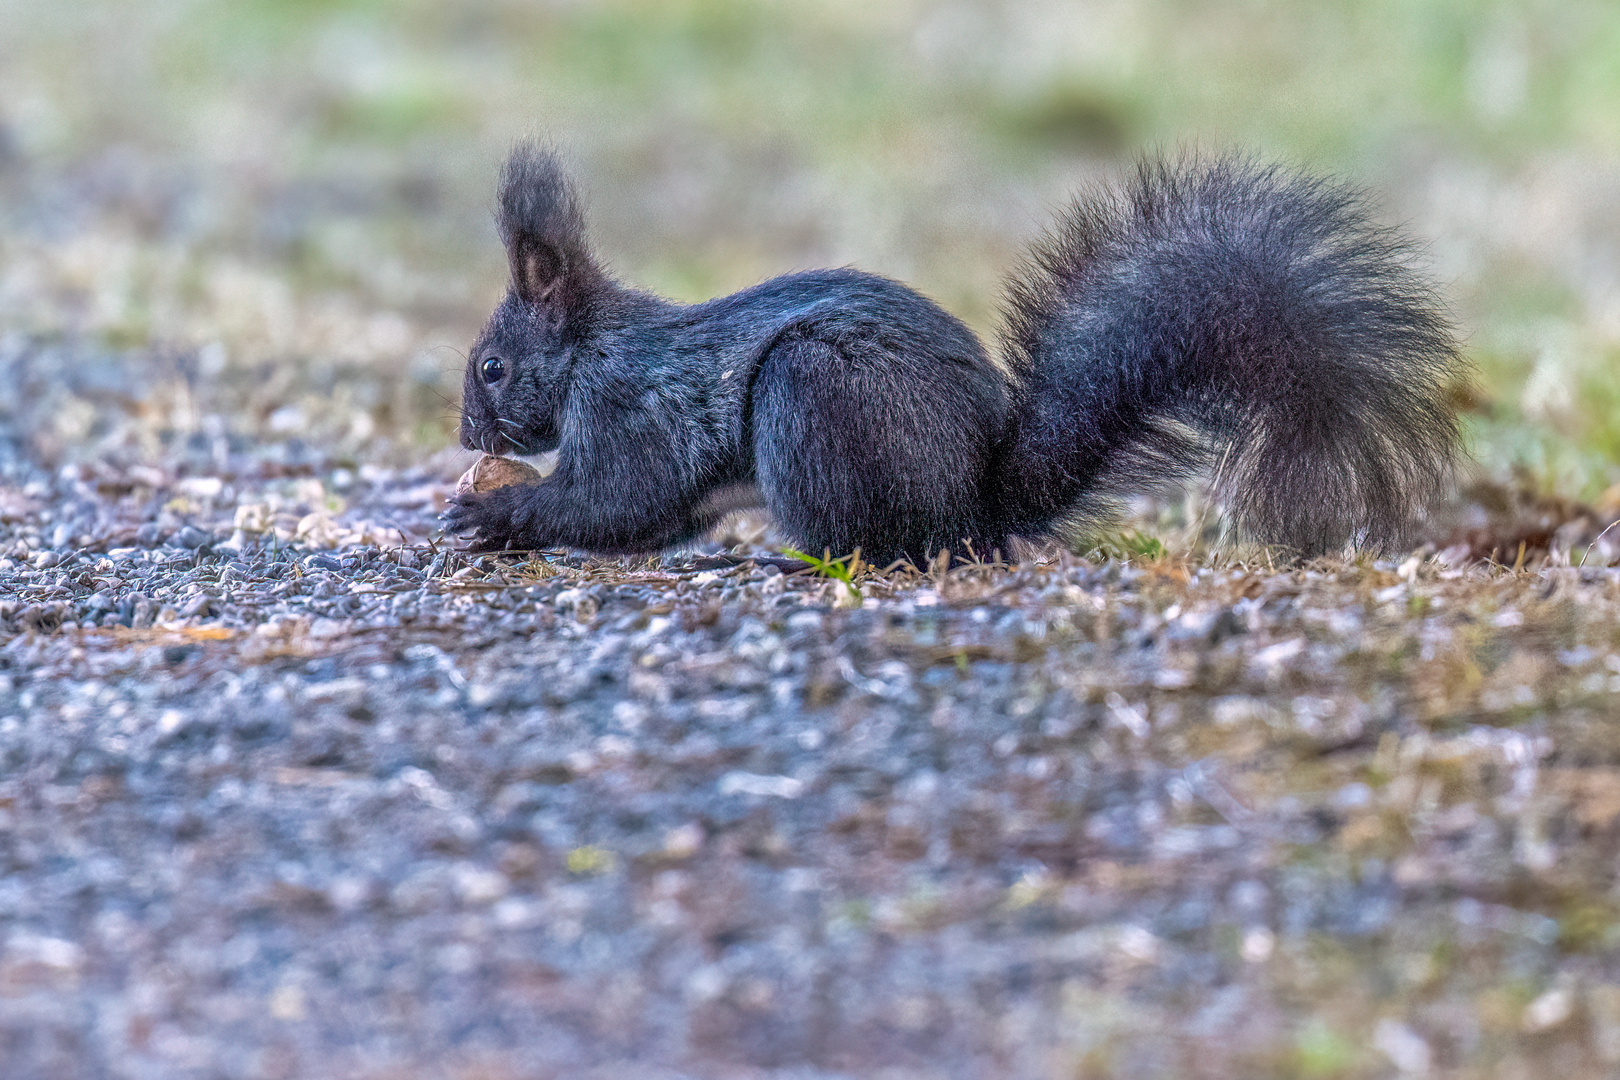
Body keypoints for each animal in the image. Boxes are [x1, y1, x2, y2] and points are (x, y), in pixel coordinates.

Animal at [443, 142, 1467, 566]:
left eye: (492, 367)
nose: (466, 437)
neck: (590, 350)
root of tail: (977, 504)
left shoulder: (629, 405)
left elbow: (617, 497)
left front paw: (497, 514)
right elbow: (647, 516)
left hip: (817, 398)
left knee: (873, 549)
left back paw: (779, 565)